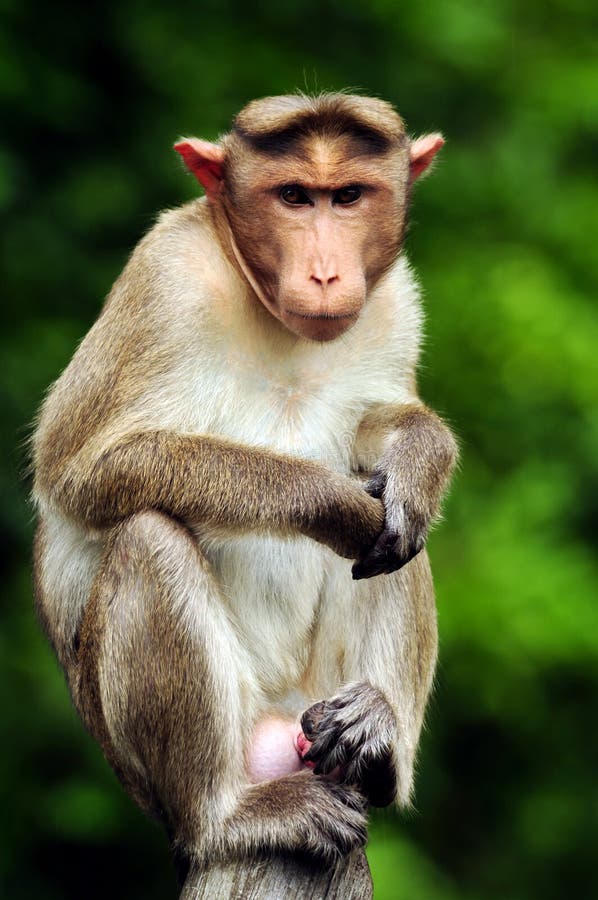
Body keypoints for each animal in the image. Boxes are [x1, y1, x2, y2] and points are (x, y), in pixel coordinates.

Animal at [32, 92, 457, 869]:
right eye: (293, 197)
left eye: (347, 196)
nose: (326, 273)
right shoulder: (165, 277)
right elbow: (83, 469)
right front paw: (335, 505)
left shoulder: (395, 303)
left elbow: (385, 428)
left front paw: (417, 460)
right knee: (149, 537)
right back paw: (224, 816)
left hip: (318, 699)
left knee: (406, 543)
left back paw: (377, 741)